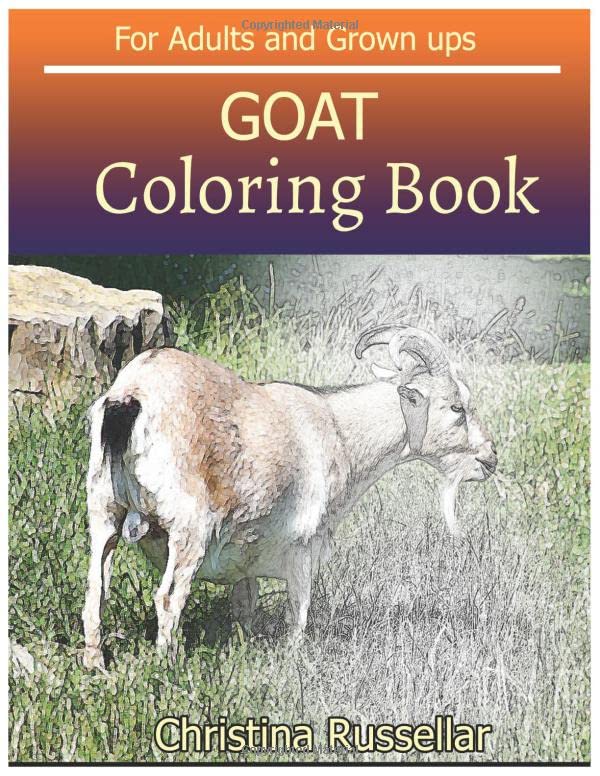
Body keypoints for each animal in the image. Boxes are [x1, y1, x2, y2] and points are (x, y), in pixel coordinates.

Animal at [82, 325, 497, 669]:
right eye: (457, 407)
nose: (489, 458)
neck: (338, 429)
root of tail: (130, 398)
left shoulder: (245, 559)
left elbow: (244, 606)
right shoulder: (303, 544)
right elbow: (298, 610)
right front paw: (293, 658)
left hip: (104, 509)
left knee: (95, 592)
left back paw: (96, 666)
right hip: (189, 528)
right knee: (168, 599)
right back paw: (168, 668)